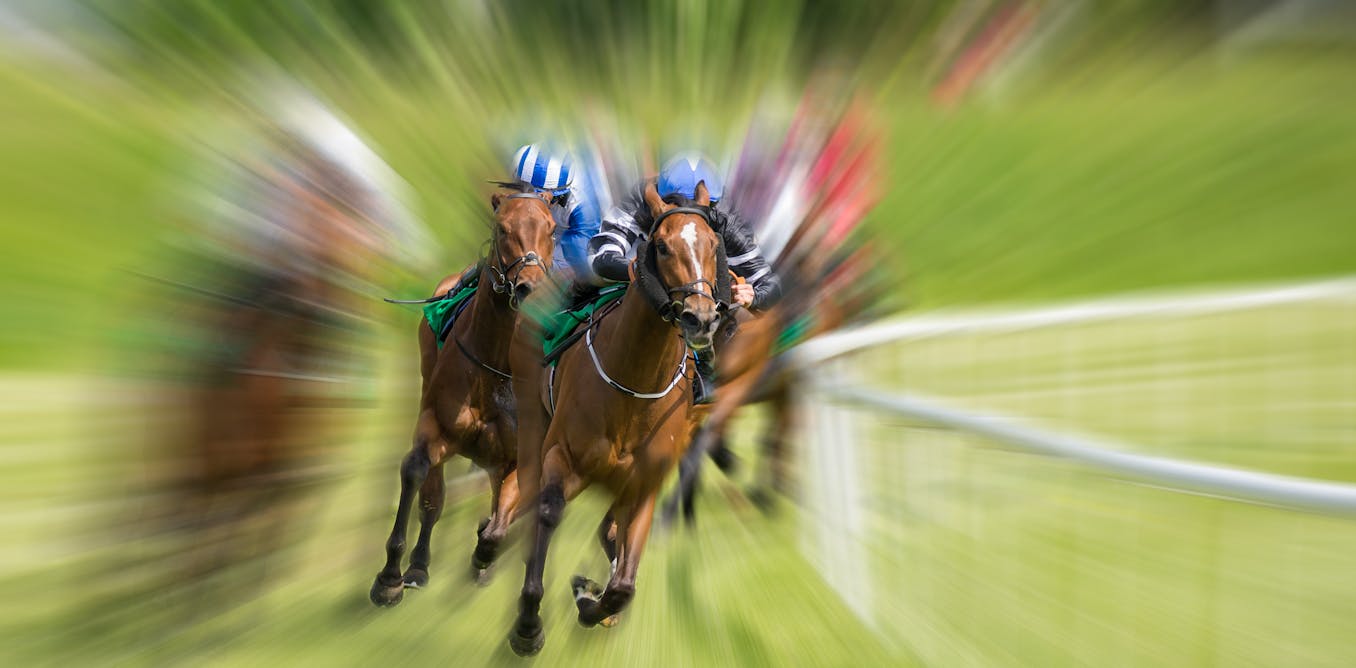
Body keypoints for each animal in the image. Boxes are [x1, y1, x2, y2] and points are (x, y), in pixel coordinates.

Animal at [368, 184, 556, 607]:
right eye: (502, 228)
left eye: (552, 230)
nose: (530, 289)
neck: (496, 363)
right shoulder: (435, 424)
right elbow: (418, 474)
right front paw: (390, 578)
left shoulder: (521, 453)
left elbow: (501, 520)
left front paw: (485, 553)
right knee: (433, 494)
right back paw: (418, 566)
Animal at [506, 180, 728, 656]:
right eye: (661, 246)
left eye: (712, 244)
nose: (700, 317)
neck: (634, 383)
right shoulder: (562, 456)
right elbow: (548, 511)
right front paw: (528, 625)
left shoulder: (644, 482)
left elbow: (623, 584)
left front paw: (590, 599)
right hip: (531, 413)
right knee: (525, 481)